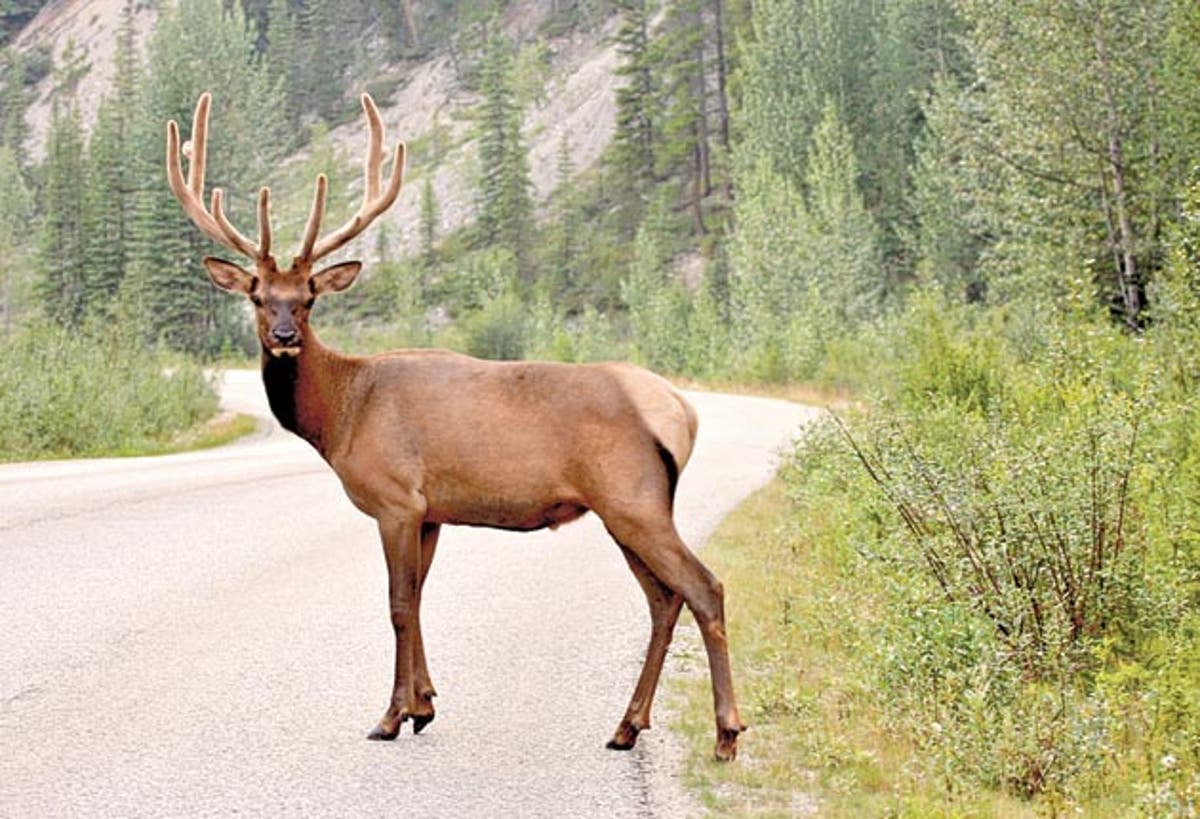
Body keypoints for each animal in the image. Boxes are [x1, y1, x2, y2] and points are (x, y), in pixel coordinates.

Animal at [165, 92, 746, 761]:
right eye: (258, 296)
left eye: (309, 297)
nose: (285, 337)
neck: (340, 415)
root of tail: (681, 410)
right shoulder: (432, 510)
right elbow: (418, 598)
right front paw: (425, 704)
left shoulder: (396, 499)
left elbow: (397, 604)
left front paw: (391, 715)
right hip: (629, 508)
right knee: (663, 598)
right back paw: (627, 726)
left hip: (632, 498)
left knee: (704, 587)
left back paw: (726, 732)